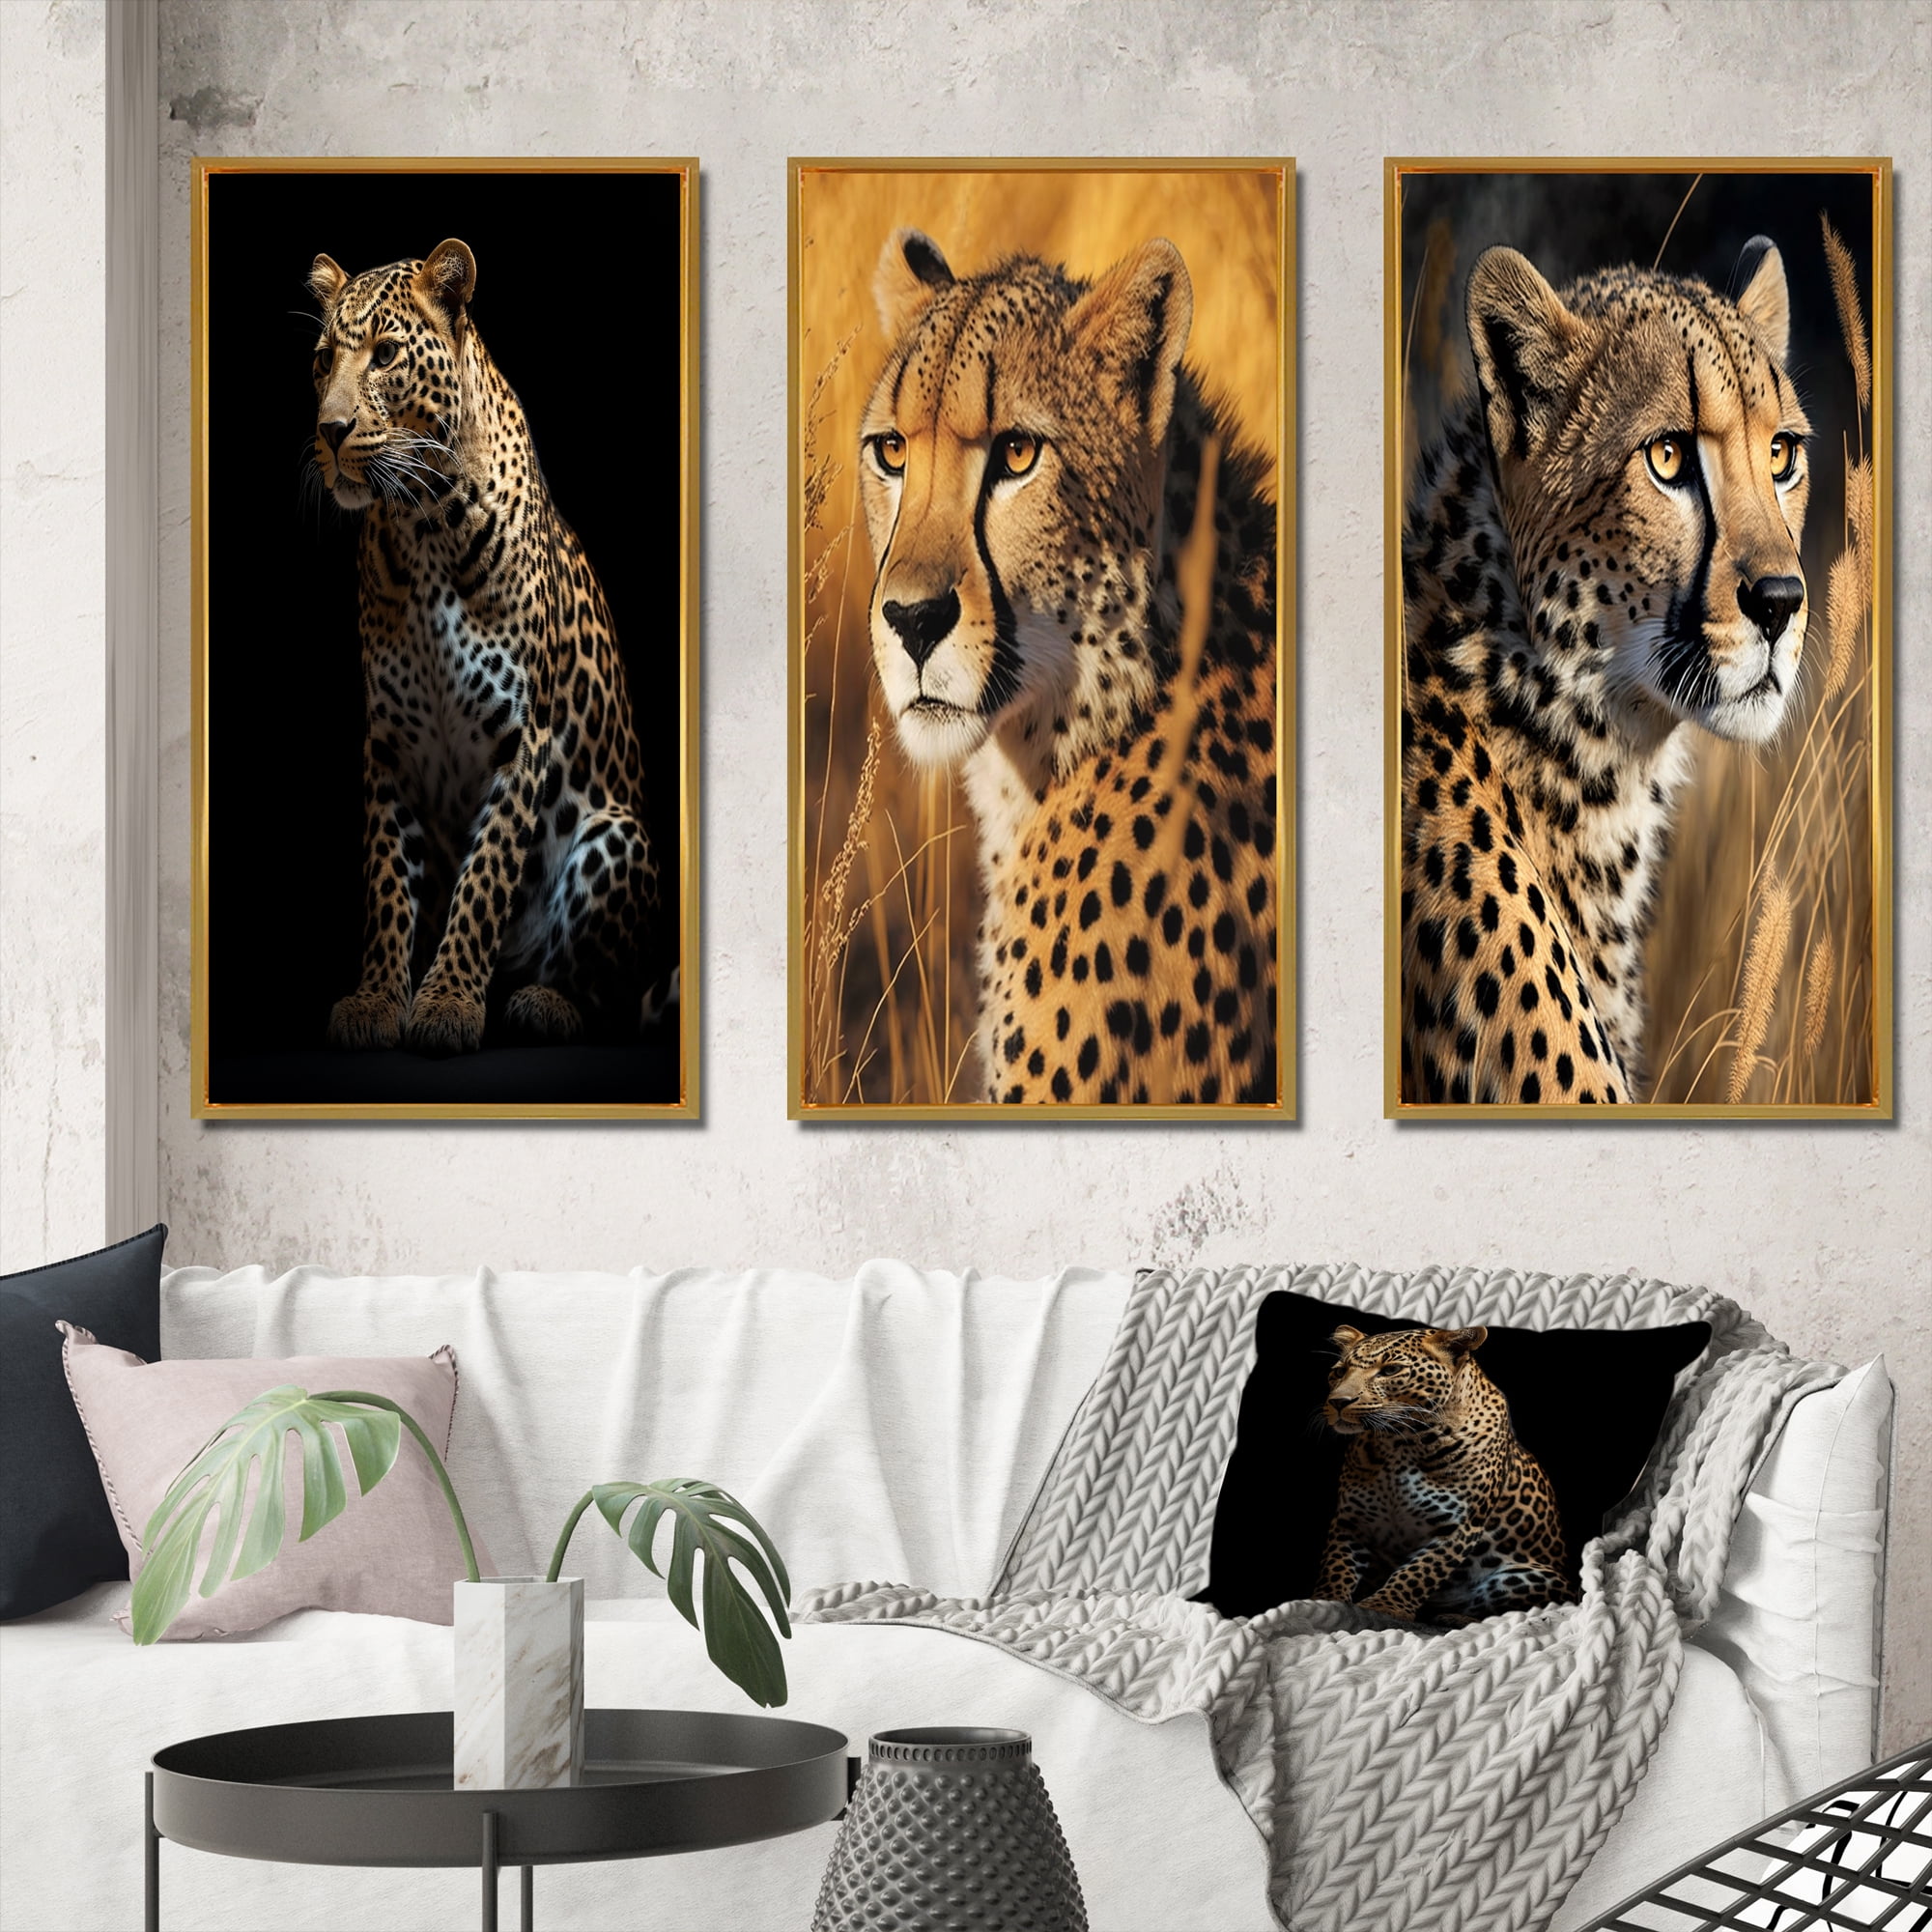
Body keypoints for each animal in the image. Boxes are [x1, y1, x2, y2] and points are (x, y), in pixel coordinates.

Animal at [307, 237, 664, 1058]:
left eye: (383, 355)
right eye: (321, 360)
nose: (330, 430)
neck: (422, 523)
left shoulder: (518, 738)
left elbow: (485, 878)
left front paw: (444, 1006)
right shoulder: (388, 744)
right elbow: (387, 884)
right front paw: (379, 1000)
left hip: (619, 836)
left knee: (601, 995)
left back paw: (540, 1003)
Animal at [1315, 1324, 1575, 1626]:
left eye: (1390, 1370)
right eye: (1339, 1372)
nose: (1338, 1401)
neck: (1399, 1444)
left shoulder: (1460, 1526)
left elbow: (1420, 1571)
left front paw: (1383, 1607)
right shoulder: (1351, 1519)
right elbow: (1336, 1565)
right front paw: (1326, 1602)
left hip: (1531, 1576)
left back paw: (1452, 1617)